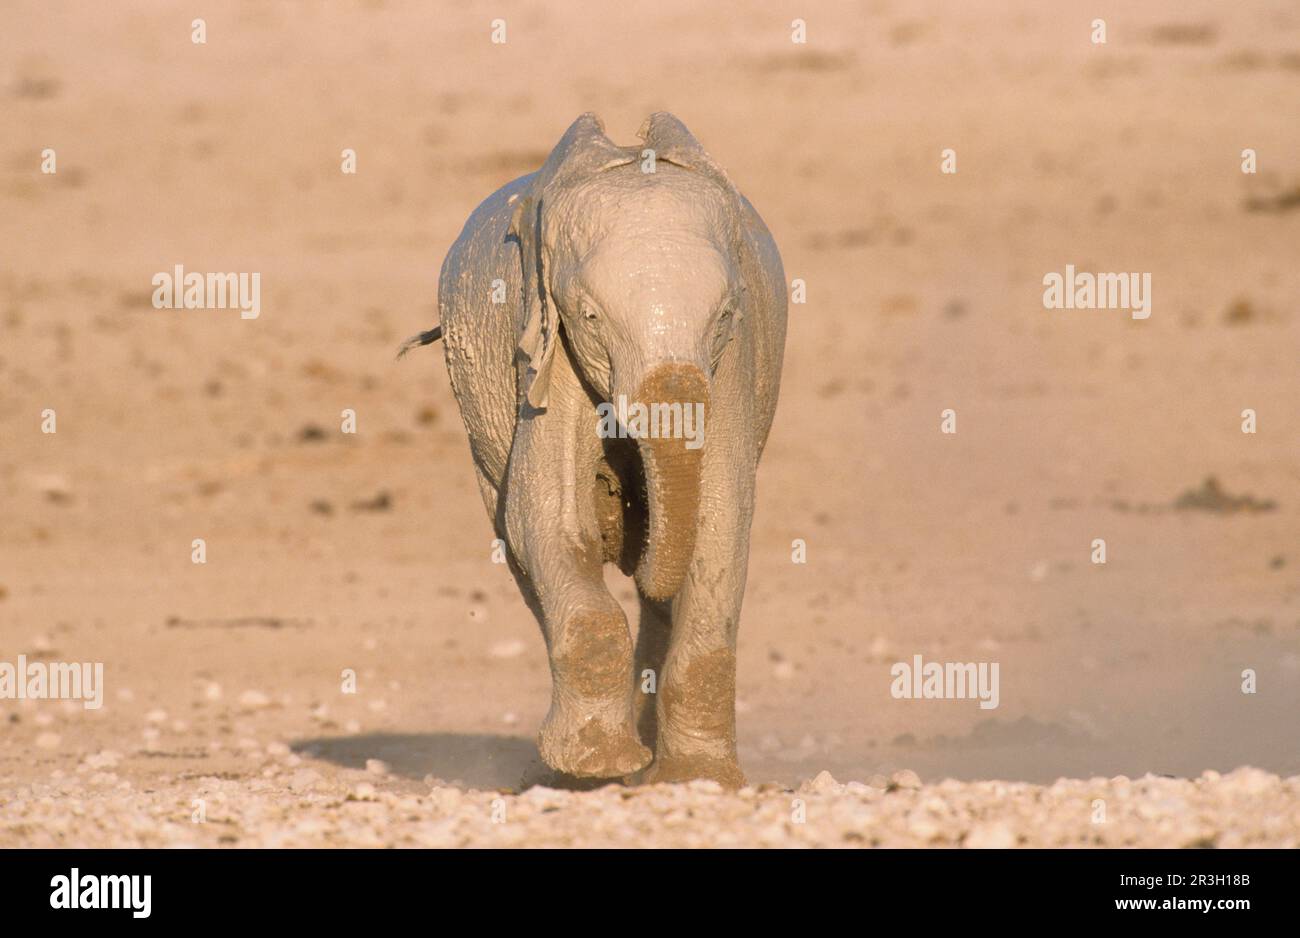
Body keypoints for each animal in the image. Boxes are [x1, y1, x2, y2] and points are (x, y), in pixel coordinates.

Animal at [408, 112, 786, 787]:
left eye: (724, 316)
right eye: (590, 318)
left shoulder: (736, 361)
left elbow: (720, 524)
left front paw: (696, 781)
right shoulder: (542, 348)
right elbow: (547, 520)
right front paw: (596, 766)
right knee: (518, 546)